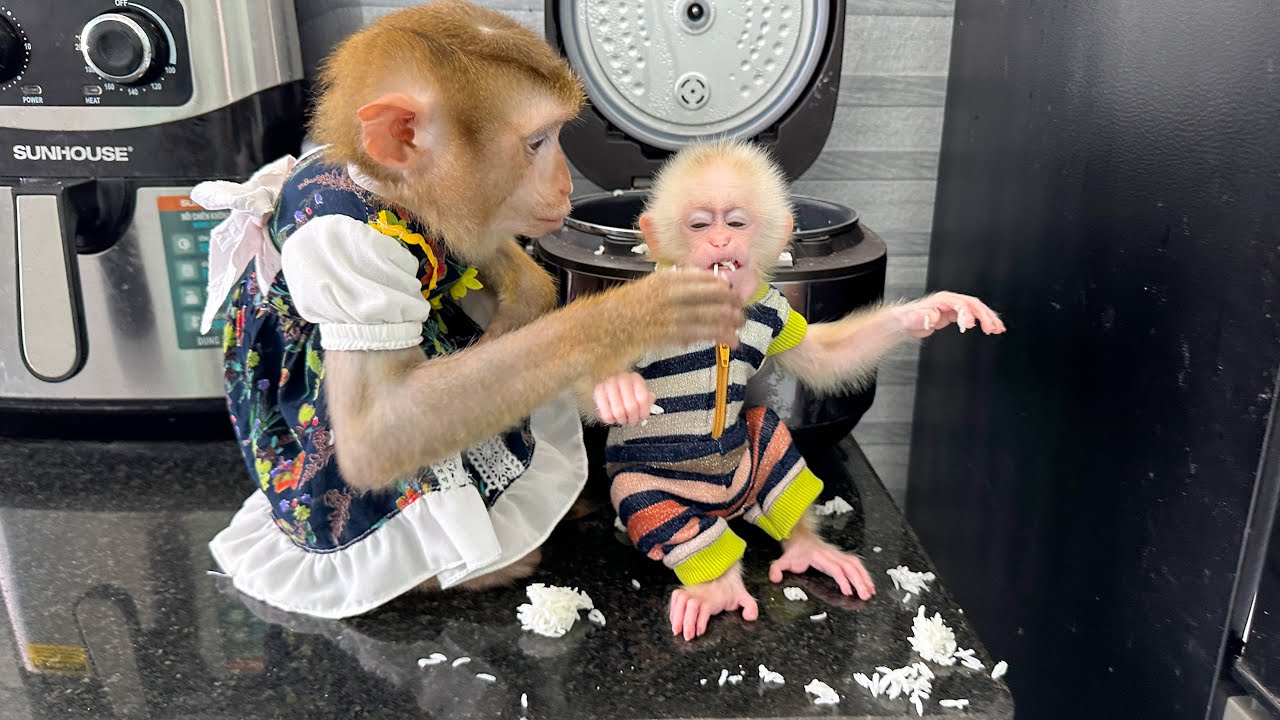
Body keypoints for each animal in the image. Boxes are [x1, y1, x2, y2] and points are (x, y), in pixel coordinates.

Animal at [190, 0, 744, 620]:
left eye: (555, 138)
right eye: (537, 143)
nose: (565, 184)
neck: (382, 189)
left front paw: (526, 300)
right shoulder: (344, 250)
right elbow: (377, 431)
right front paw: (636, 314)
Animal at [593, 139, 1007, 640]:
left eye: (735, 223)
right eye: (699, 224)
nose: (719, 242)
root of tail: (728, 510)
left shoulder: (778, 311)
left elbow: (823, 354)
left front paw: (927, 313)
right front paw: (618, 391)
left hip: (759, 461)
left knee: (774, 446)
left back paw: (809, 547)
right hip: (651, 492)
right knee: (670, 518)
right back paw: (717, 586)